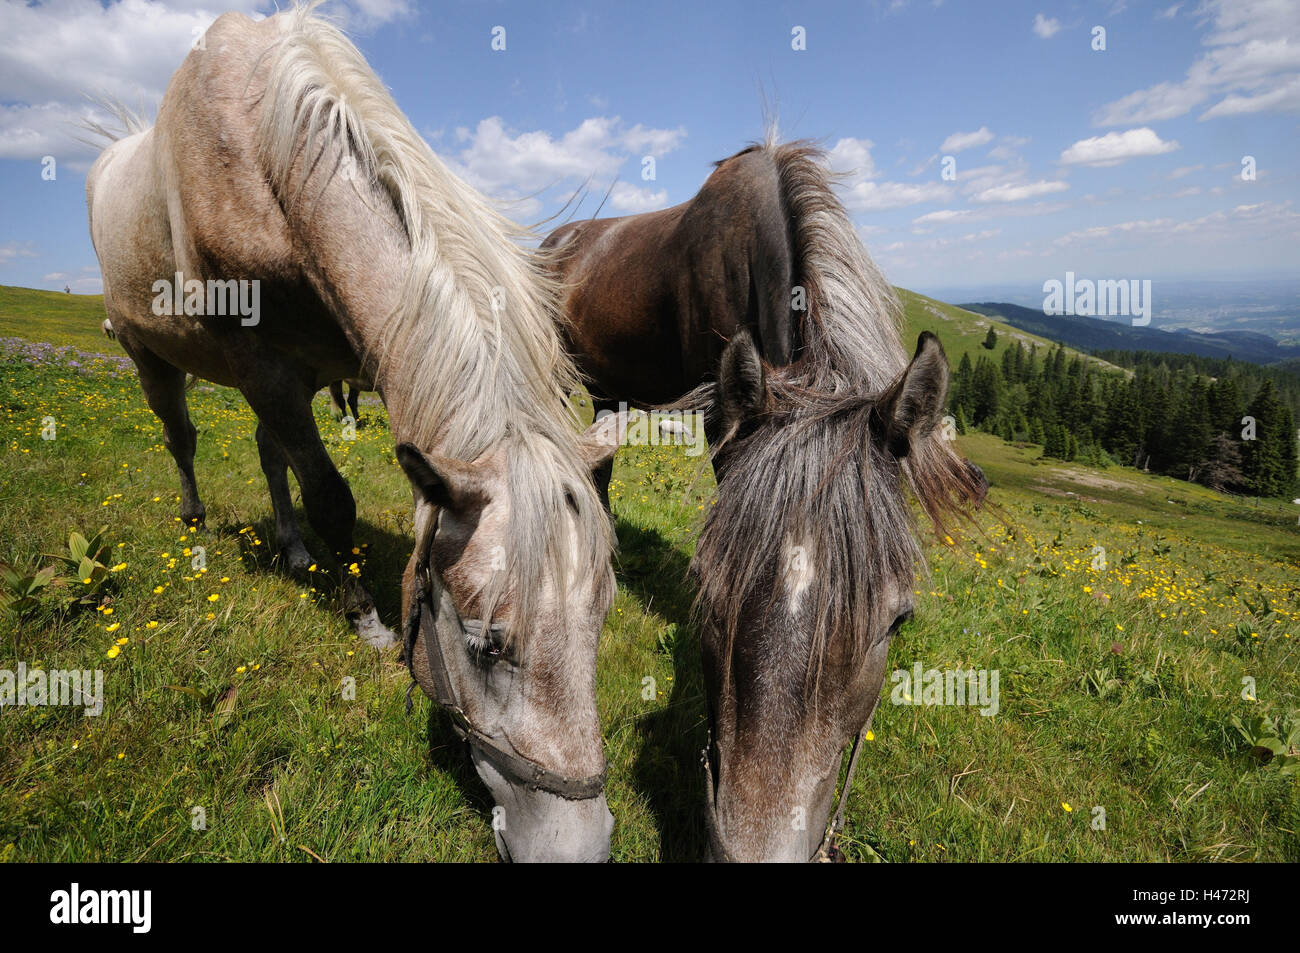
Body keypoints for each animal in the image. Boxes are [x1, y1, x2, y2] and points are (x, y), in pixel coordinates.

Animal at [86, 6, 621, 861]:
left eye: (601, 622)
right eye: (485, 644)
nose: (578, 846)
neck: (262, 152)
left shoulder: (333, 364)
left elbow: (297, 465)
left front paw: (315, 557)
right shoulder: (262, 366)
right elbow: (332, 499)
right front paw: (366, 617)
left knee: (270, 455)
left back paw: (291, 548)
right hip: (151, 357)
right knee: (182, 437)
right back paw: (197, 518)